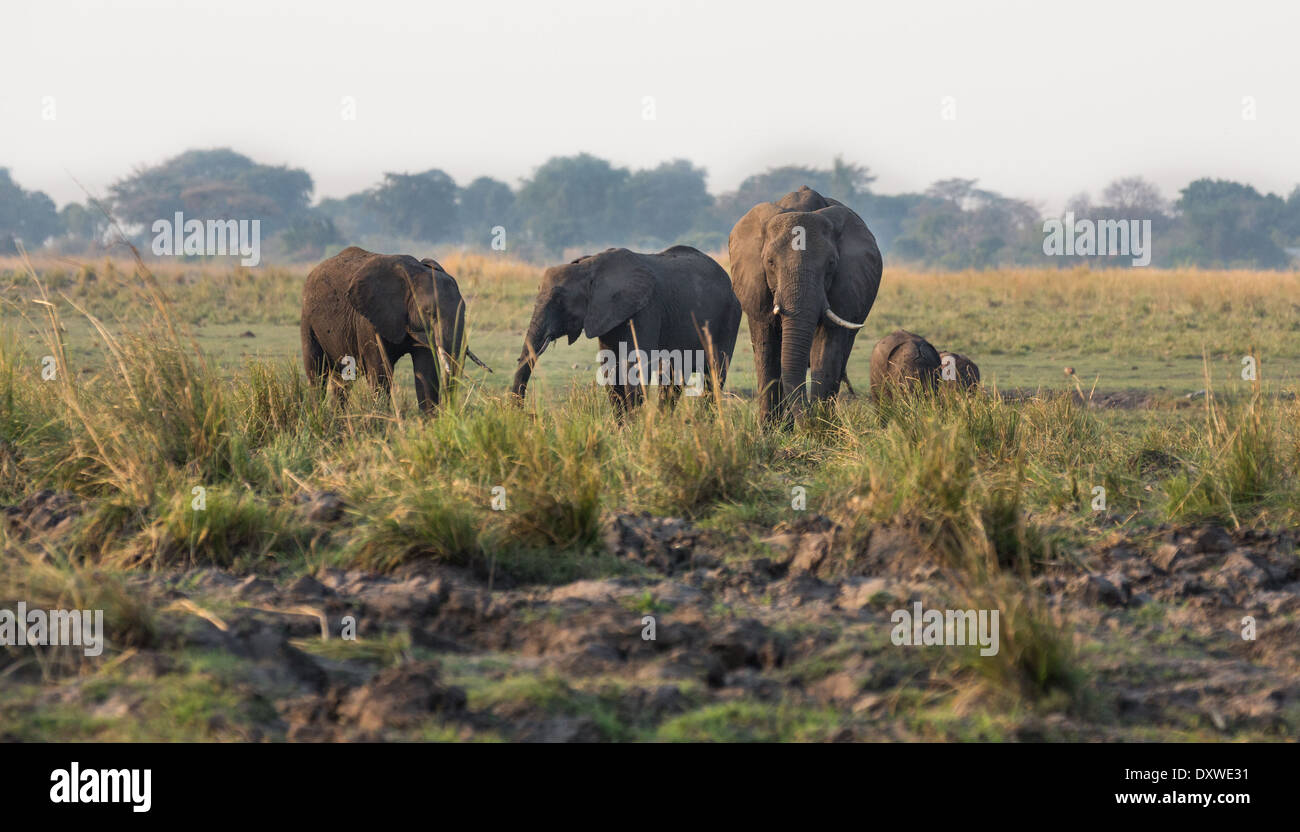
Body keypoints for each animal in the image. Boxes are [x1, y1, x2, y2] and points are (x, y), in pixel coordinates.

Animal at [301, 246, 489, 411]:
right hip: (307, 319)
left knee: (343, 380)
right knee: (316, 375)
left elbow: (426, 373)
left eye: (464, 311)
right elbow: (380, 373)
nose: (450, 414)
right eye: (428, 313)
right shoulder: (367, 319)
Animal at [510, 246, 742, 415]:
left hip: (729, 317)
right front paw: (623, 430)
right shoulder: (607, 316)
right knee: (673, 377)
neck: (588, 266)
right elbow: (610, 368)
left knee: (714, 375)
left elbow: (635, 365)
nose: (524, 415)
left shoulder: (645, 310)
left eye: (559, 300)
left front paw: (634, 428)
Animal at [729, 186, 883, 422]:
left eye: (831, 264)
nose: (810, 416)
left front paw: (819, 426)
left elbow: (826, 348)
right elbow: (767, 350)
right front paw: (770, 428)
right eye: (770, 262)